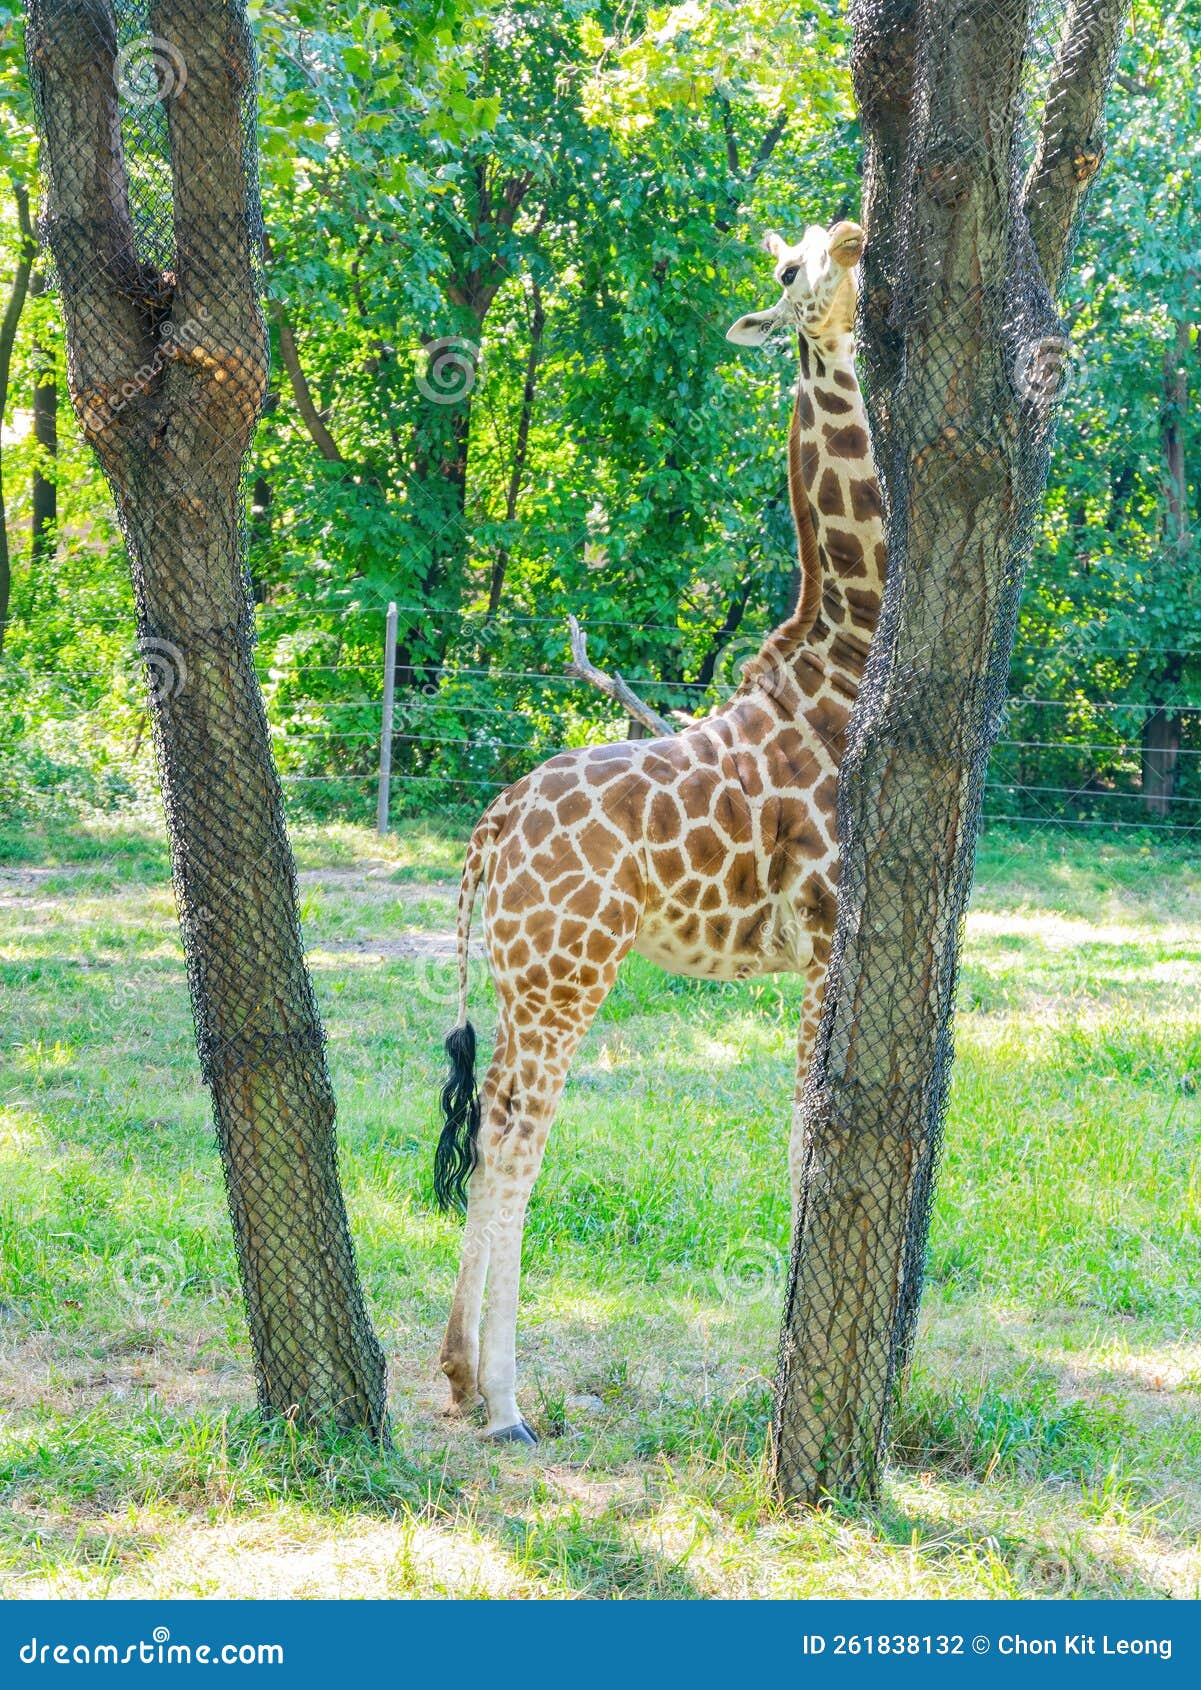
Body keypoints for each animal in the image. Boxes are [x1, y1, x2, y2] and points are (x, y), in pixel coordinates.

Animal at [433, 219, 887, 1445]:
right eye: (791, 269)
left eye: (828, 238)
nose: (857, 235)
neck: (845, 658)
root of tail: (489, 829)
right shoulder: (826, 932)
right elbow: (804, 1146)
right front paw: (786, 1369)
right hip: (569, 976)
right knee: (518, 1140)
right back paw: (505, 1401)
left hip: (519, 978)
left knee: (487, 1125)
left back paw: (456, 1374)